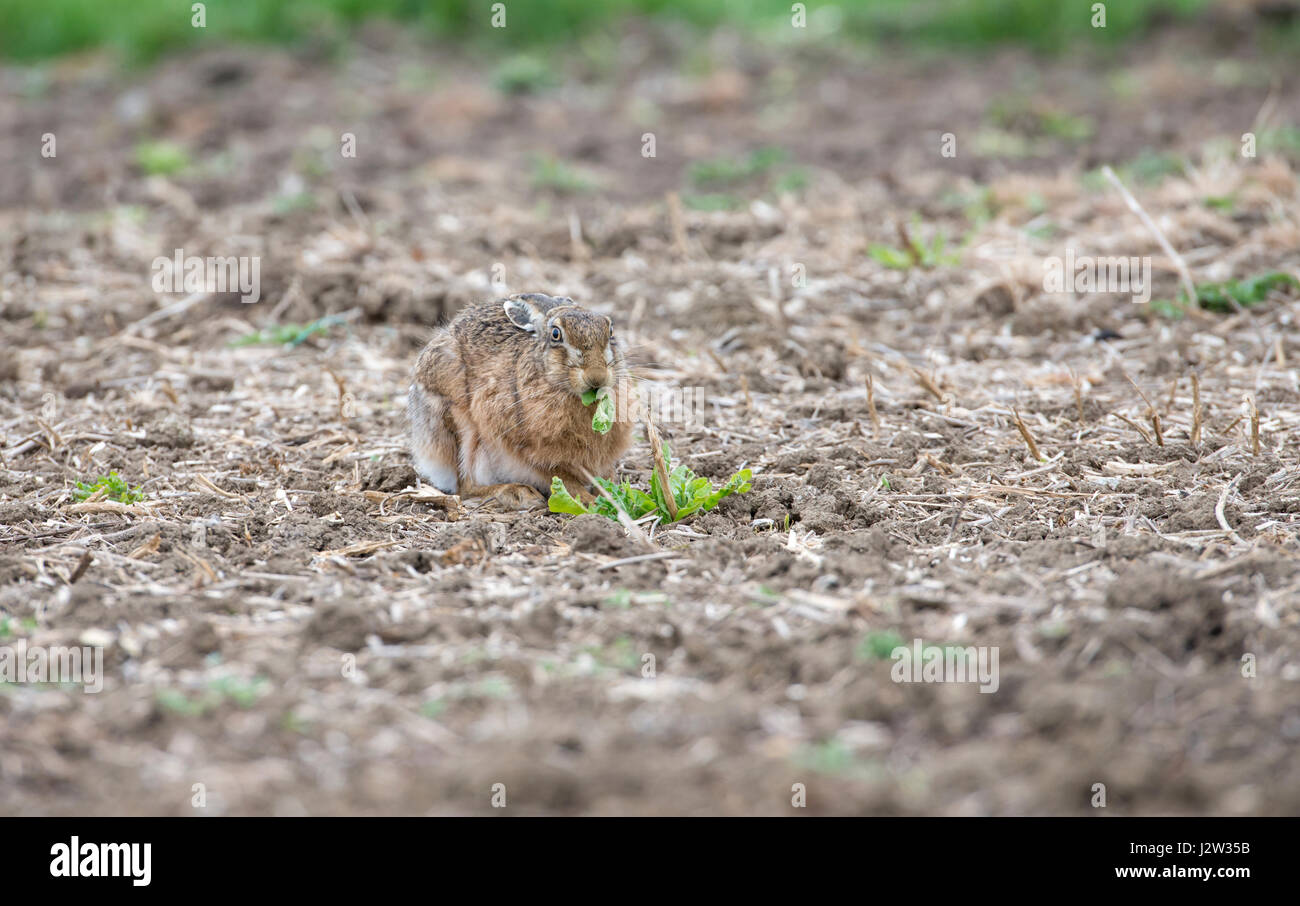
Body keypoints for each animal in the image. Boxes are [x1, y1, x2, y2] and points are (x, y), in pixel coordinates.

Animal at [407, 292, 632, 508]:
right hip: (461, 426)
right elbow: (561, 477)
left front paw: (611, 492)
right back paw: (517, 493)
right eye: (556, 334)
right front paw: (588, 500)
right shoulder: (527, 450)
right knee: (465, 486)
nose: (597, 376)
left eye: (610, 330)